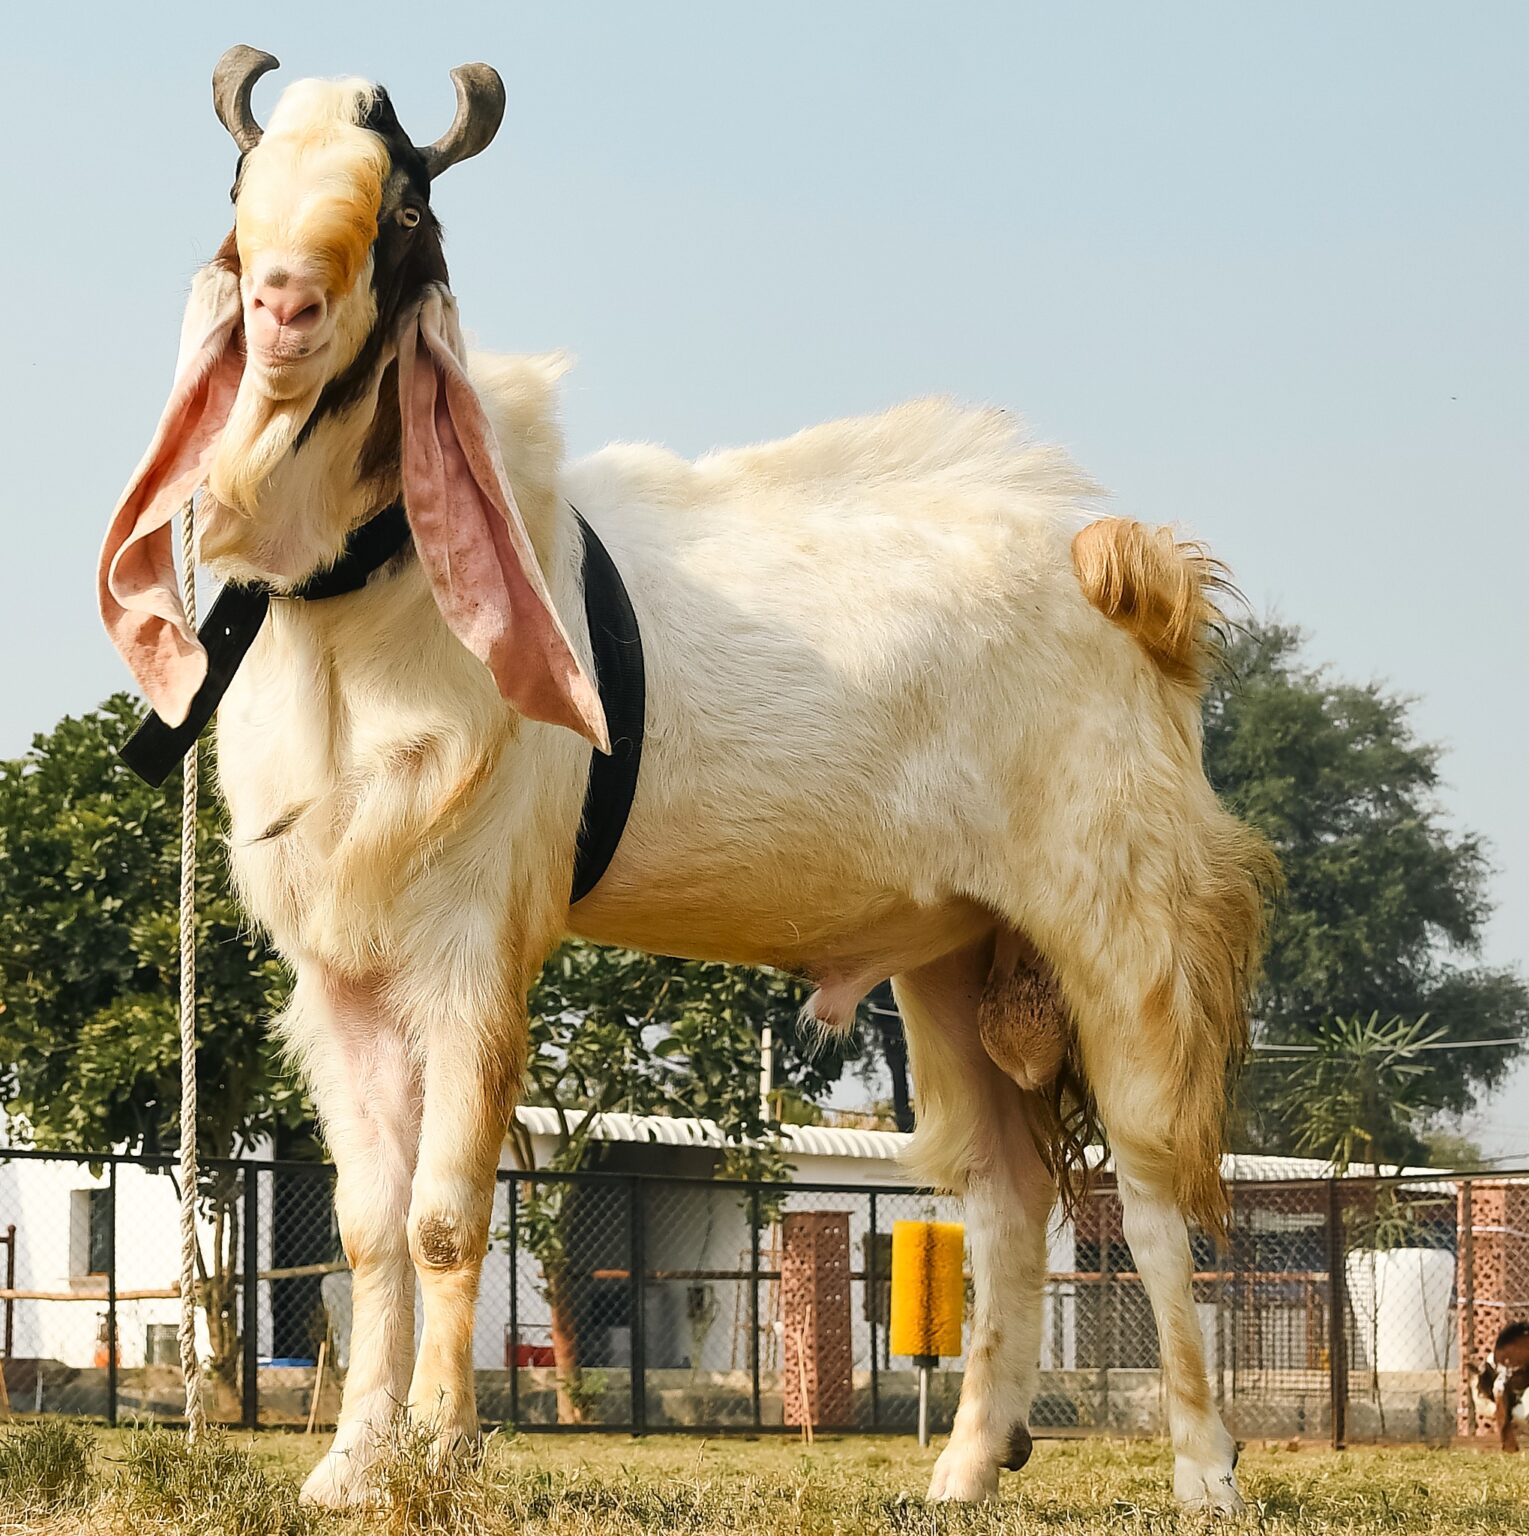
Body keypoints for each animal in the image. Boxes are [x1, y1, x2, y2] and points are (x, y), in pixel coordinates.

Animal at [99, 47, 1277, 1511]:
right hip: (957, 945)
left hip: (1121, 912)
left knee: (1159, 1189)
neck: (361, 593)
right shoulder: (340, 956)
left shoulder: (476, 931)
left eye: (404, 211)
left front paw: (441, 1447)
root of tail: (1120, 573)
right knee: (1004, 1190)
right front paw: (350, 1467)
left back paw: (1206, 1475)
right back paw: (957, 1475)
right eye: (238, 189)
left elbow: (444, 1219)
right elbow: (368, 1226)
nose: (283, 305)